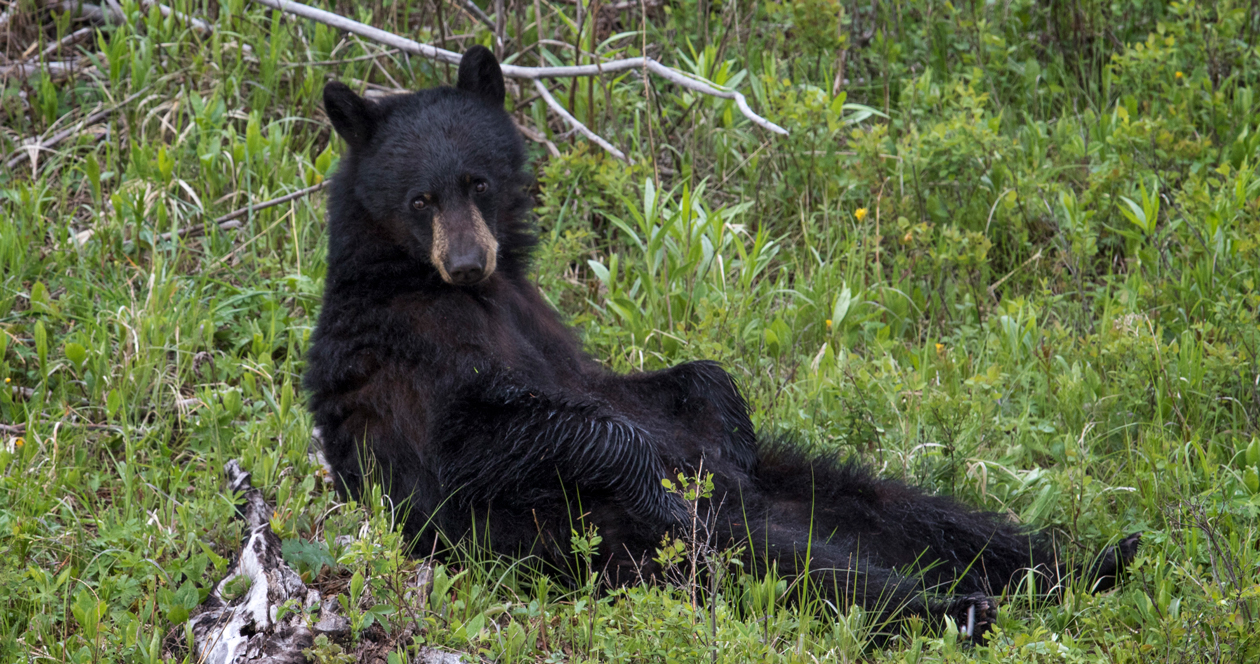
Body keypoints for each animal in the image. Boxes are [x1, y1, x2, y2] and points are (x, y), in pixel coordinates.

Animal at [303, 45, 1138, 641]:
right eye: (421, 198)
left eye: (477, 181)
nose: (469, 260)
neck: (453, 290)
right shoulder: (413, 351)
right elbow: (487, 429)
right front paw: (645, 470)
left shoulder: (538, 315)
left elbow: (644, 381)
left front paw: (723, 425)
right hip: (605, 537)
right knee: (789, 564)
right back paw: (954, 608)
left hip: (814, 486)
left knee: (926, 513)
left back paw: (1090, 561)